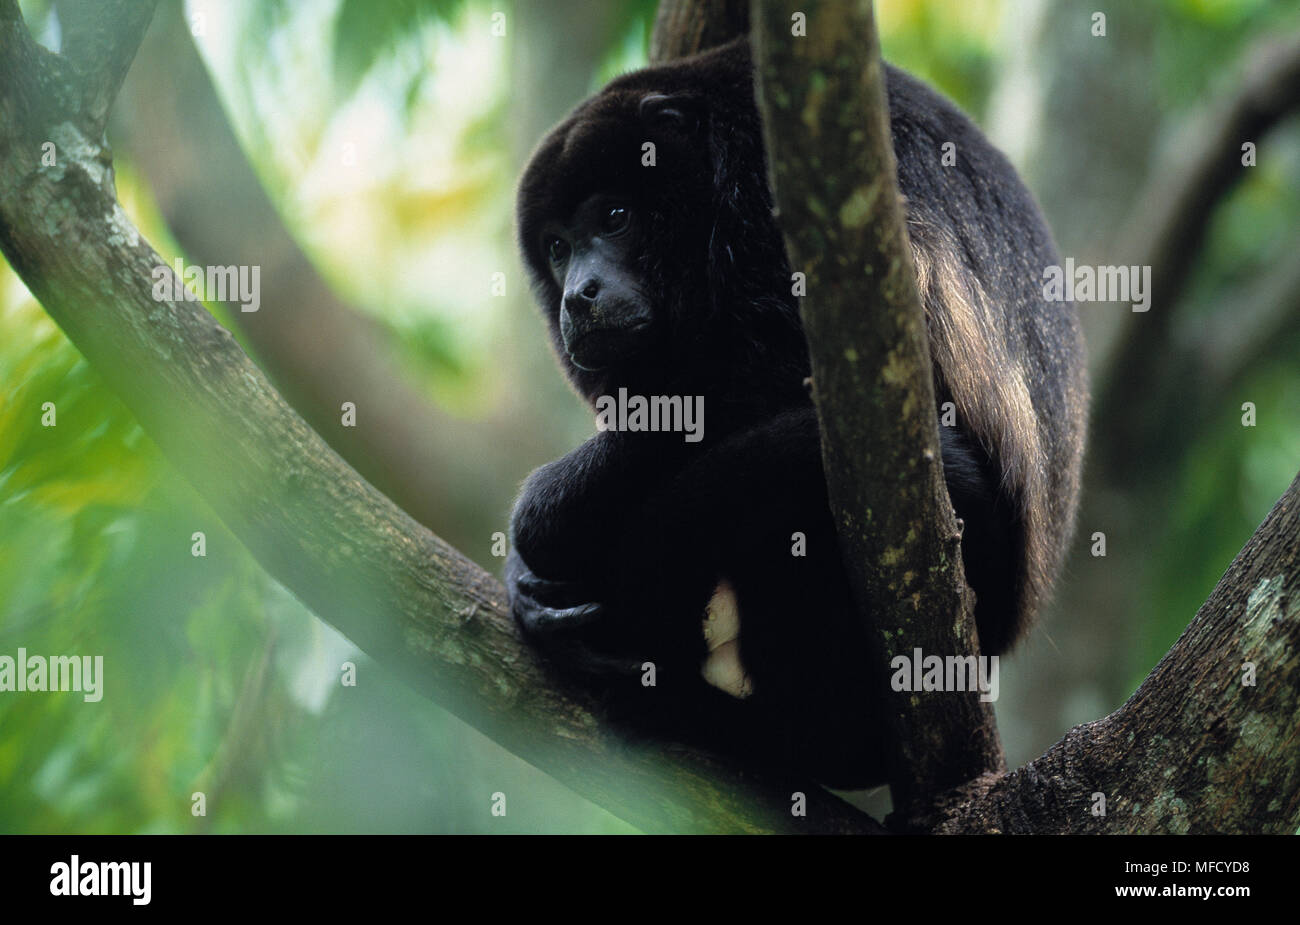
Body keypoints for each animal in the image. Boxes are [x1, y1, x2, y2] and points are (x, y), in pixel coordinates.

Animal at [506, 36, 1087, 786]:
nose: (578, 292)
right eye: (556, 247)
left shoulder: (766, 189)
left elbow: (791, 378)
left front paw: (539, 514)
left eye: (614, 217)